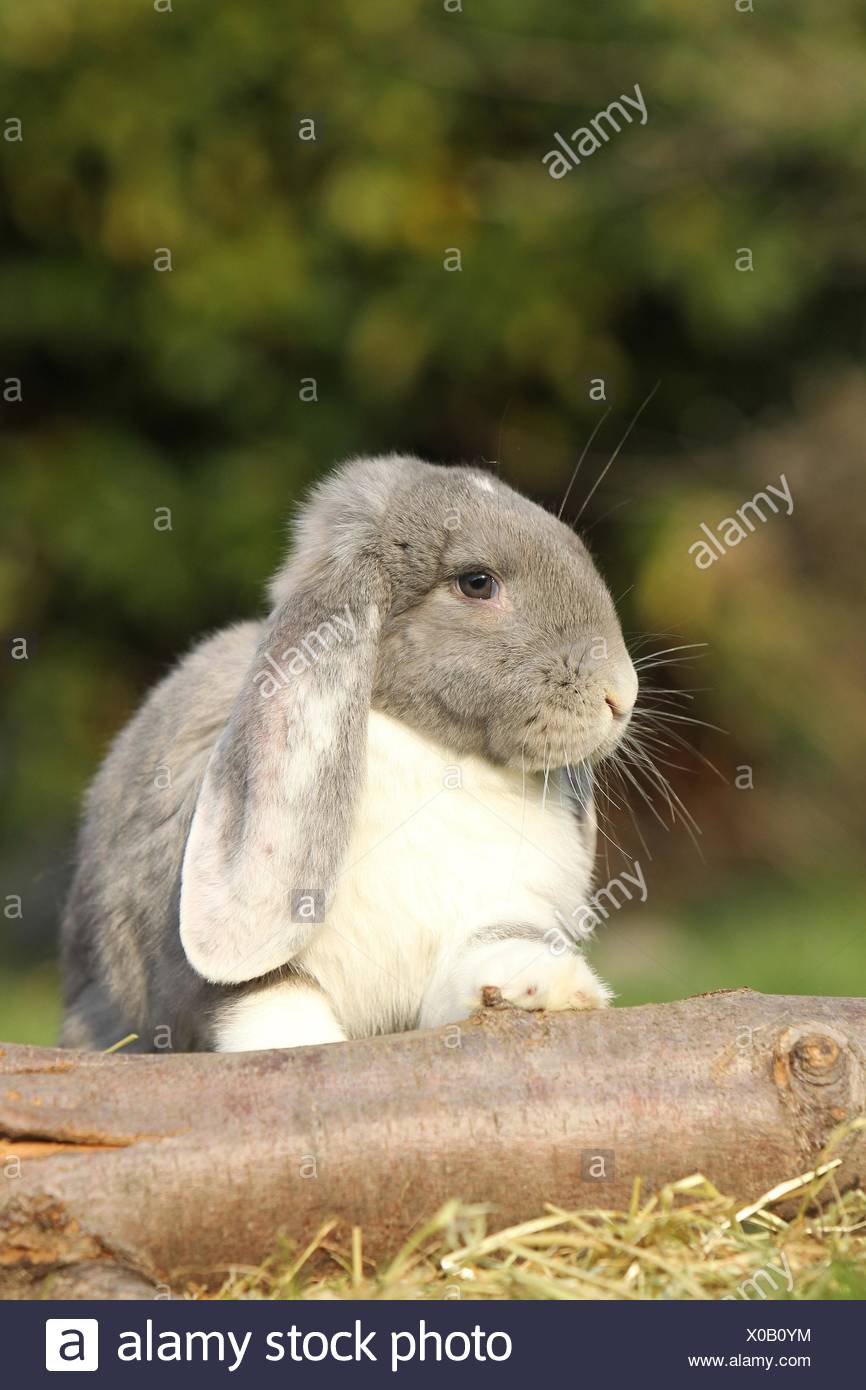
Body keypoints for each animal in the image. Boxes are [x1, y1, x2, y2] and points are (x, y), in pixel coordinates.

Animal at [59, 454, 639, 1053]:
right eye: (477, 583)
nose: (622, 695)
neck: (430, 752)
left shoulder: (490, 919)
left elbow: (484, 956)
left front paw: (554, 986)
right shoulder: (229, 976)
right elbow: (270, 1005)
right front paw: (299, 1046)